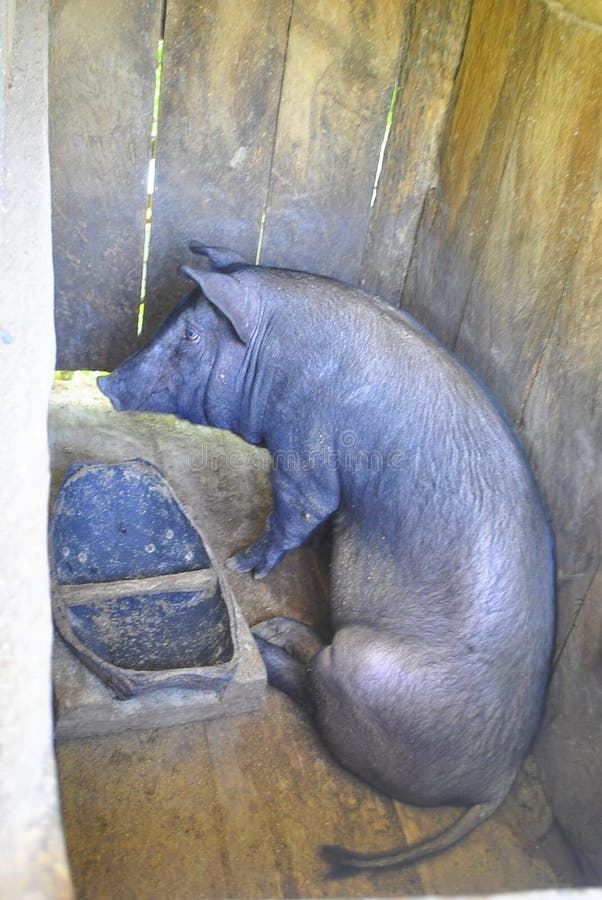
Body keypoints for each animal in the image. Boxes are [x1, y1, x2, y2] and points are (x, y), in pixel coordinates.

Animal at [98, 243, 555, 873]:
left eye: (189, 335)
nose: (104, 384)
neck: (274, 350)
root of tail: (497, 779)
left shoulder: (305, 450)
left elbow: (297, 511)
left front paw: (241, 564)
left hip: (366, 669)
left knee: (314, 689)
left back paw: (262, 636)